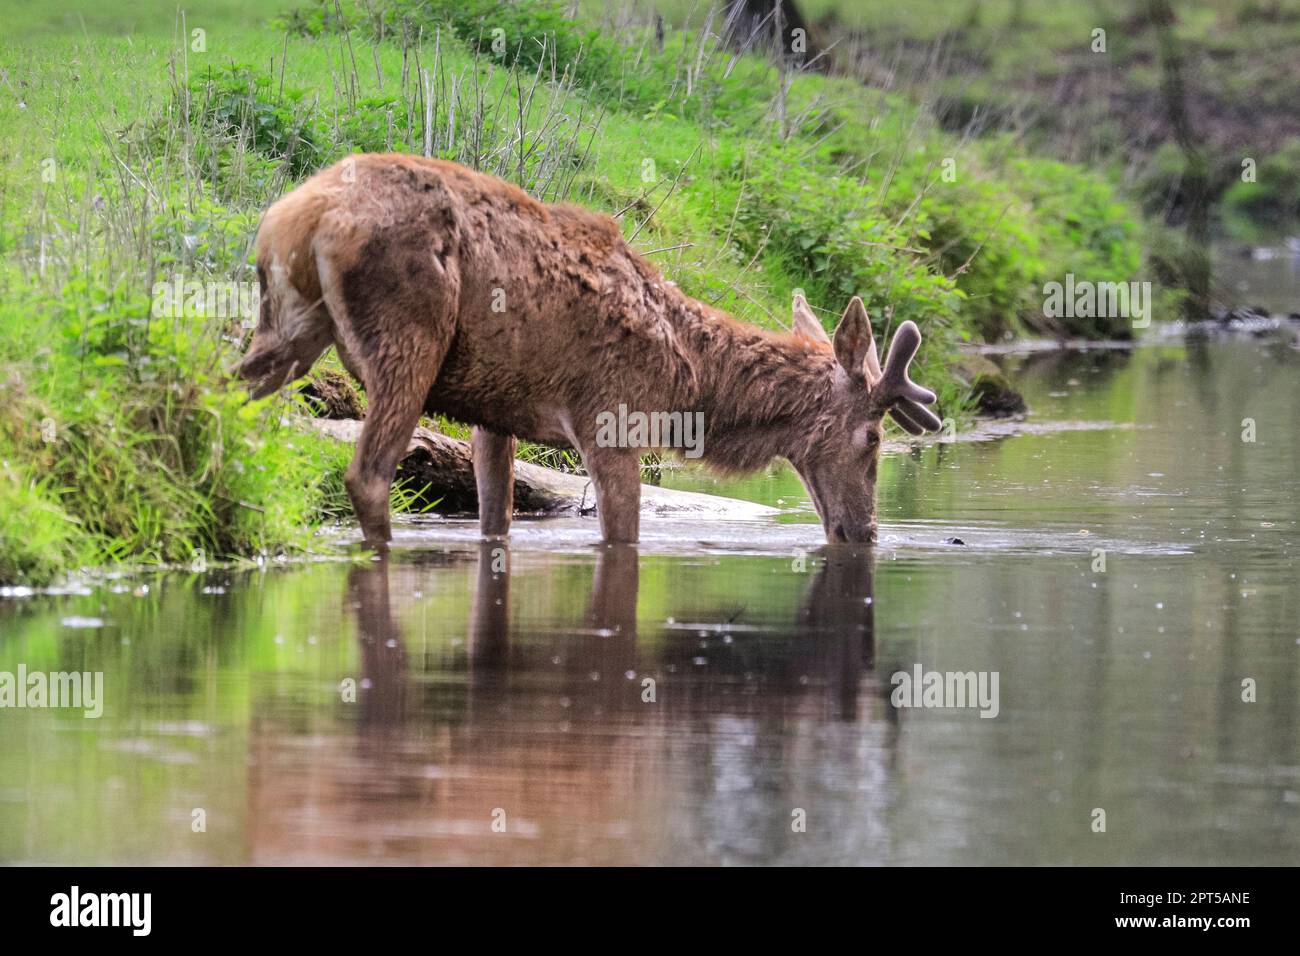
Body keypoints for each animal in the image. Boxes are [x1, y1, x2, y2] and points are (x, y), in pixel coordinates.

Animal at [237, 153, 942, 550]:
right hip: (408, 337)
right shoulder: (613, 418)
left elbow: (498, 518)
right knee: (369, 472)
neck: (688, 386)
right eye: (874, 437)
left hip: (284, 327)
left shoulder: (495, 413)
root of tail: (301, 213)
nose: (867, 533)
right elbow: (622, 537)